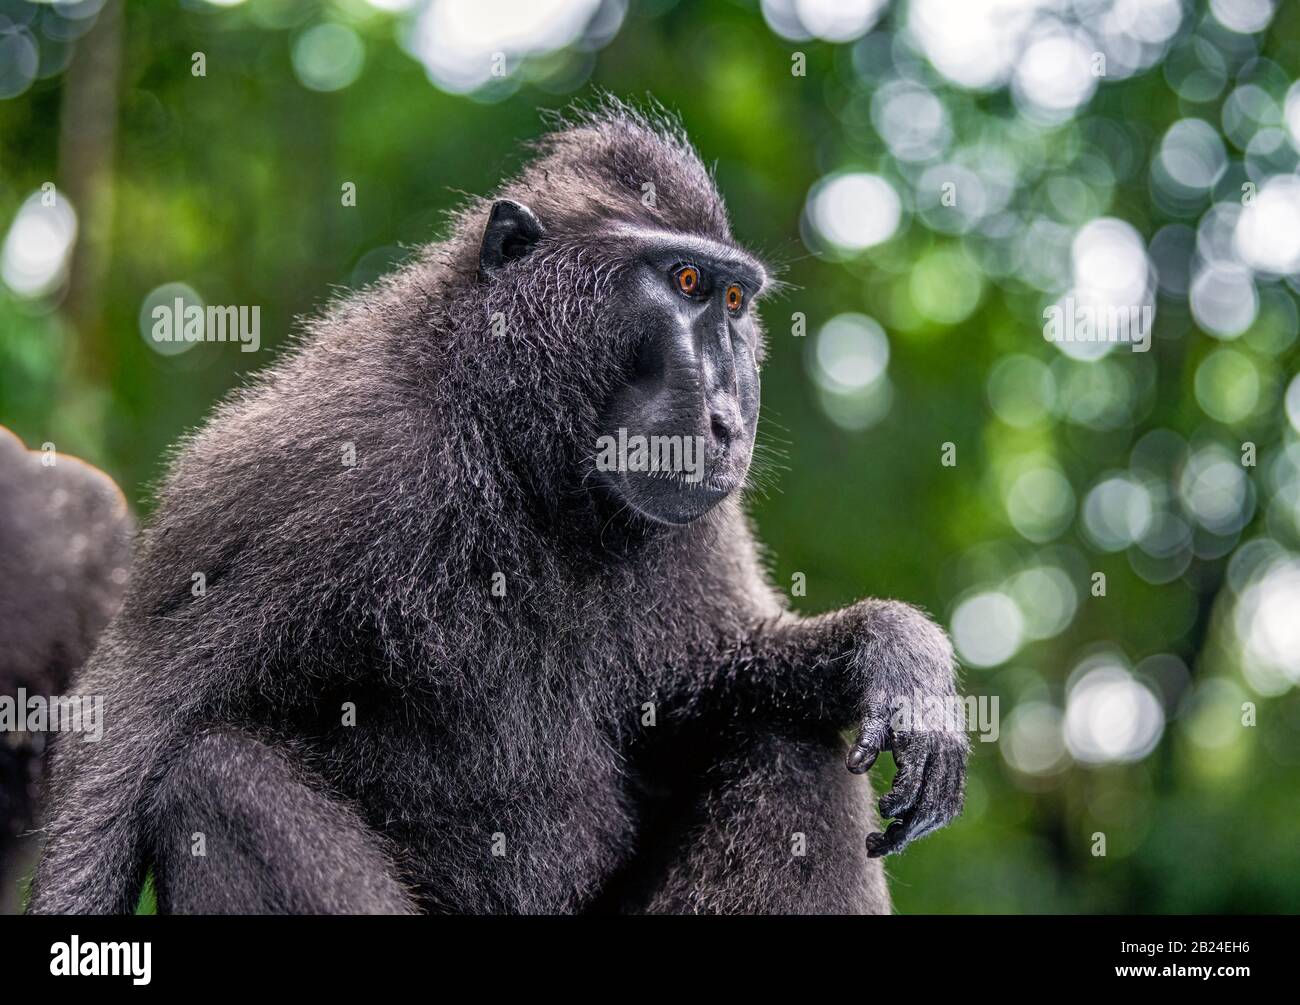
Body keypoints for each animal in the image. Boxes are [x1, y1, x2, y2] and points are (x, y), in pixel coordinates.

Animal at [28, 99, 966, 916]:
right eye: (686, 281)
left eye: (734, 303)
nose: (728, 418)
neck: (522, 455)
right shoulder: (306, 471)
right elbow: (133, 729)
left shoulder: (695, 529)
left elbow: (702, 679)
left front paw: (892, 648)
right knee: (215, 773)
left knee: (794, 743)